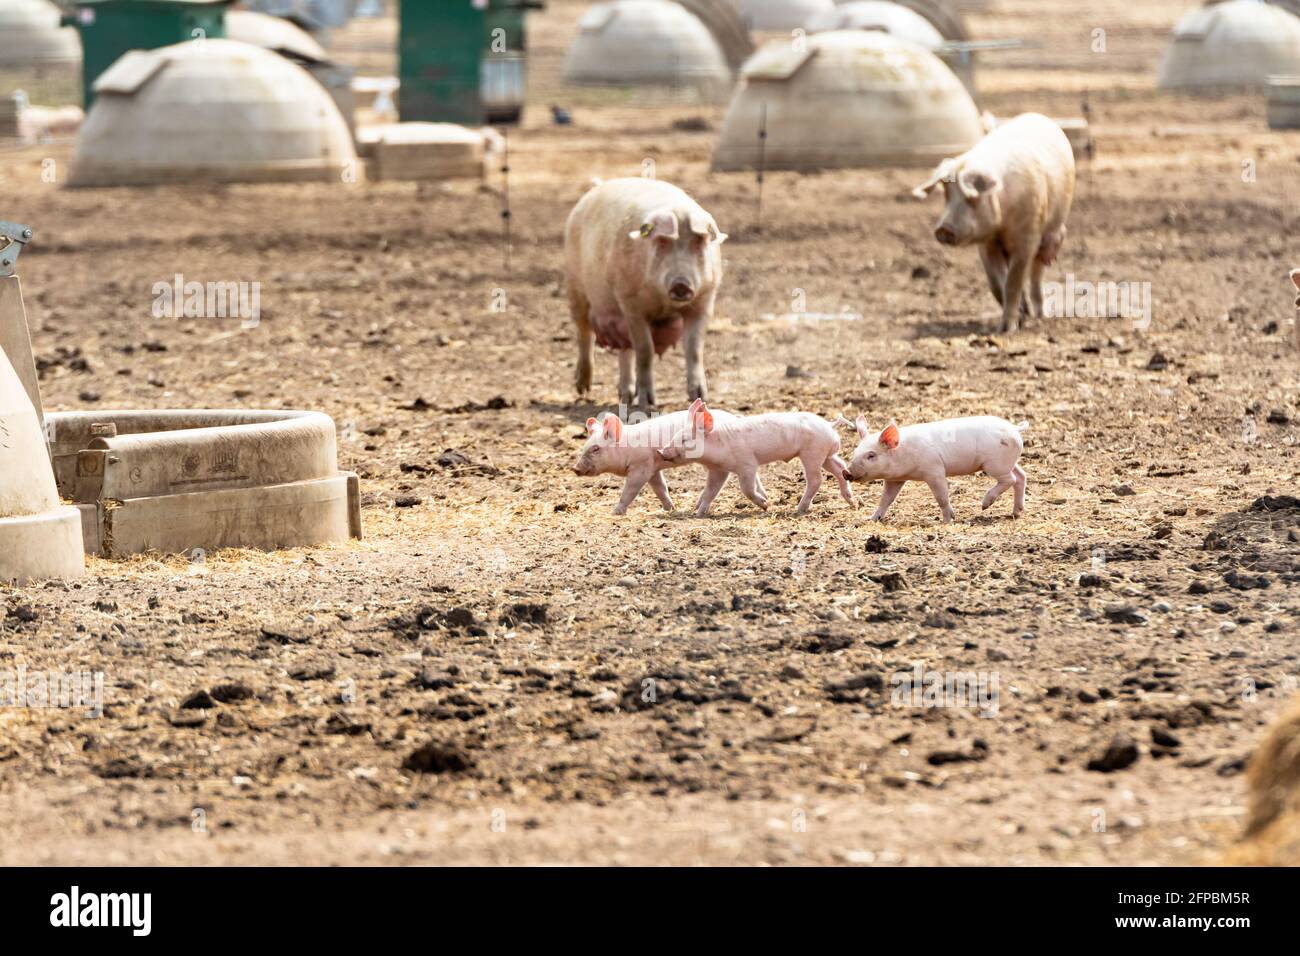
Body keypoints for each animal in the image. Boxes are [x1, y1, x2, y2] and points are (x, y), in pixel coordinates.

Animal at [565, 177, 727, 409]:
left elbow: (694, 349)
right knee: (584, 334)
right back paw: (583, 389)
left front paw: (700, 396)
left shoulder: (704, 302)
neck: (665, 304)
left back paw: (625, 396)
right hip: (575, 287)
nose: (681, 284)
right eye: (662, 242)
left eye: (698, 242)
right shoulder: (631, 305)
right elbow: (645, 351)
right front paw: (647, 403)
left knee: (624, 350)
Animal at [656, 400, 855, 516]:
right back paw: (852, 502)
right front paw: (698, 513)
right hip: (826, 455)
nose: (661, 451)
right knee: (840, 468)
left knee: (816, 479)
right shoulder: (718, 470)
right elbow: (710, 490)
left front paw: (766, 505)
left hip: (811, 454)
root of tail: (830, 425)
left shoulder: (747, 465)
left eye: (684, 439)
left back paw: (799, 509)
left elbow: (747, 489)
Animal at [845, 416, 1027, 523]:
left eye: (871, 455)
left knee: (1010, 479)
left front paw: (947, 520)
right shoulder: (895, 479)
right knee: (1021, 476)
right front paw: (871, 519)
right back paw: (1016, 513)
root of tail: (1015, 428)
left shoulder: (934, 470)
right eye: (855, 452)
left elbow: (941, 497)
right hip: (1009, 462)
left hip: (994, 464)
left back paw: (984, 505)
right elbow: (886, 499)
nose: (846, 472)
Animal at [913, 113, 1075, 333]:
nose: (943, 229)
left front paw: (1007, 329)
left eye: (972, 197)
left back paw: (1040, 316)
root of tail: (1040, 116)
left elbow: (1013, 282)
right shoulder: (987, 245)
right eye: (947, 194)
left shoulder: (1028, 238)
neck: (1002, 225)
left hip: (1050, 233)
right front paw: (1019, 318)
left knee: (1036, 273)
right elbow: (997, 284)